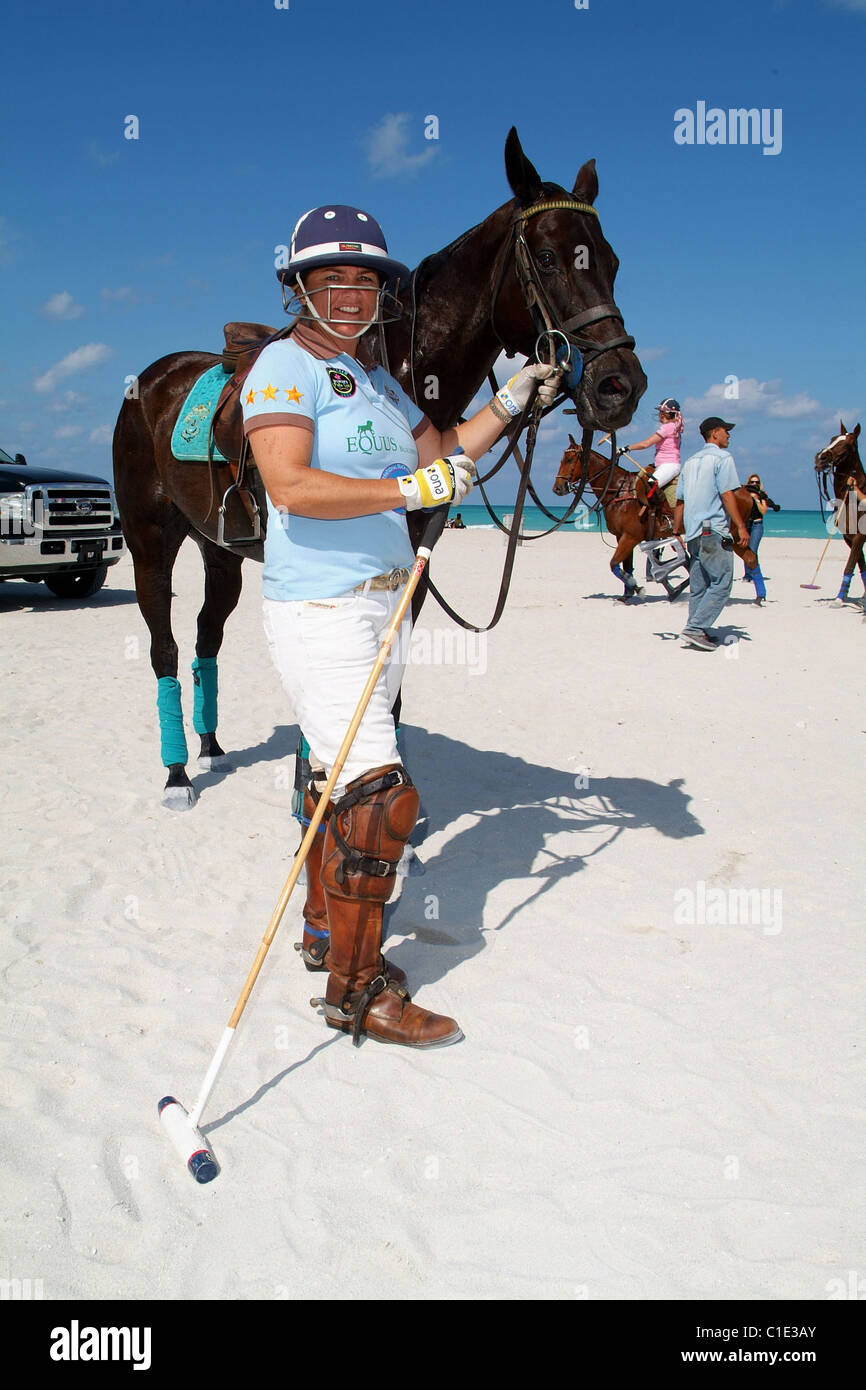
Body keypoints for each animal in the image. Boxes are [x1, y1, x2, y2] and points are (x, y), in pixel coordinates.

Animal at [111, 132, 647, 806]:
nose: (620, 387)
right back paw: (178, 772)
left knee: (208, 635)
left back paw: (209, 745)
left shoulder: (410, 569)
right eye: (548, 258)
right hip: (149, 542)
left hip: (219, 550)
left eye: (613, 261)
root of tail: (151, 379)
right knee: (165, 645)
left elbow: (384, 694)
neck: (399, 367)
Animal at [556, 436, 756, 600]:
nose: (557, 488)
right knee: (751, 559)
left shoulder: (631, 537)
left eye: (569, 459)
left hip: (733, 534)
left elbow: (613, 564)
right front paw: (627, 594)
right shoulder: (622, 537)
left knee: (750, 559)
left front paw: (637, 589)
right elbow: (625, 566)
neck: (619, 490)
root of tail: (745, 492)